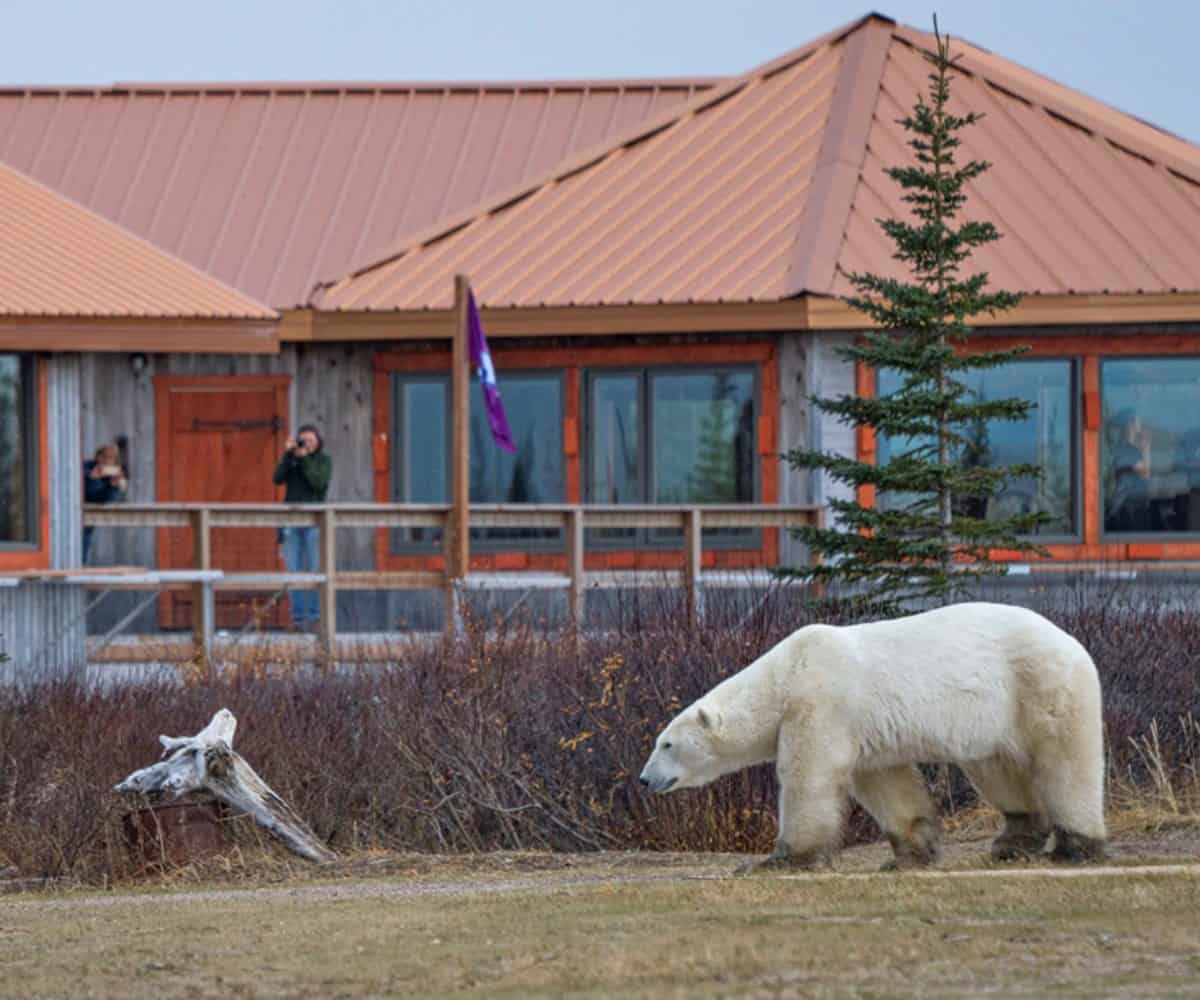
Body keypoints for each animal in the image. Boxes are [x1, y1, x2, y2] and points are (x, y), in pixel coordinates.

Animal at [638, 602, 1107, 873]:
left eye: (666, 744)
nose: (644, 779)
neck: (784, 674)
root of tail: (1072, 640)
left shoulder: (820, 703)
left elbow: (808, 776)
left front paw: (778, 861)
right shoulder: (862, 727)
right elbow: (884, 782)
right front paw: (912, 854)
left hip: (1039, 685)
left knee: (1064, 760)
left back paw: (1075, 845)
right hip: (993, 715)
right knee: (996, 765)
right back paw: (1013, 841)